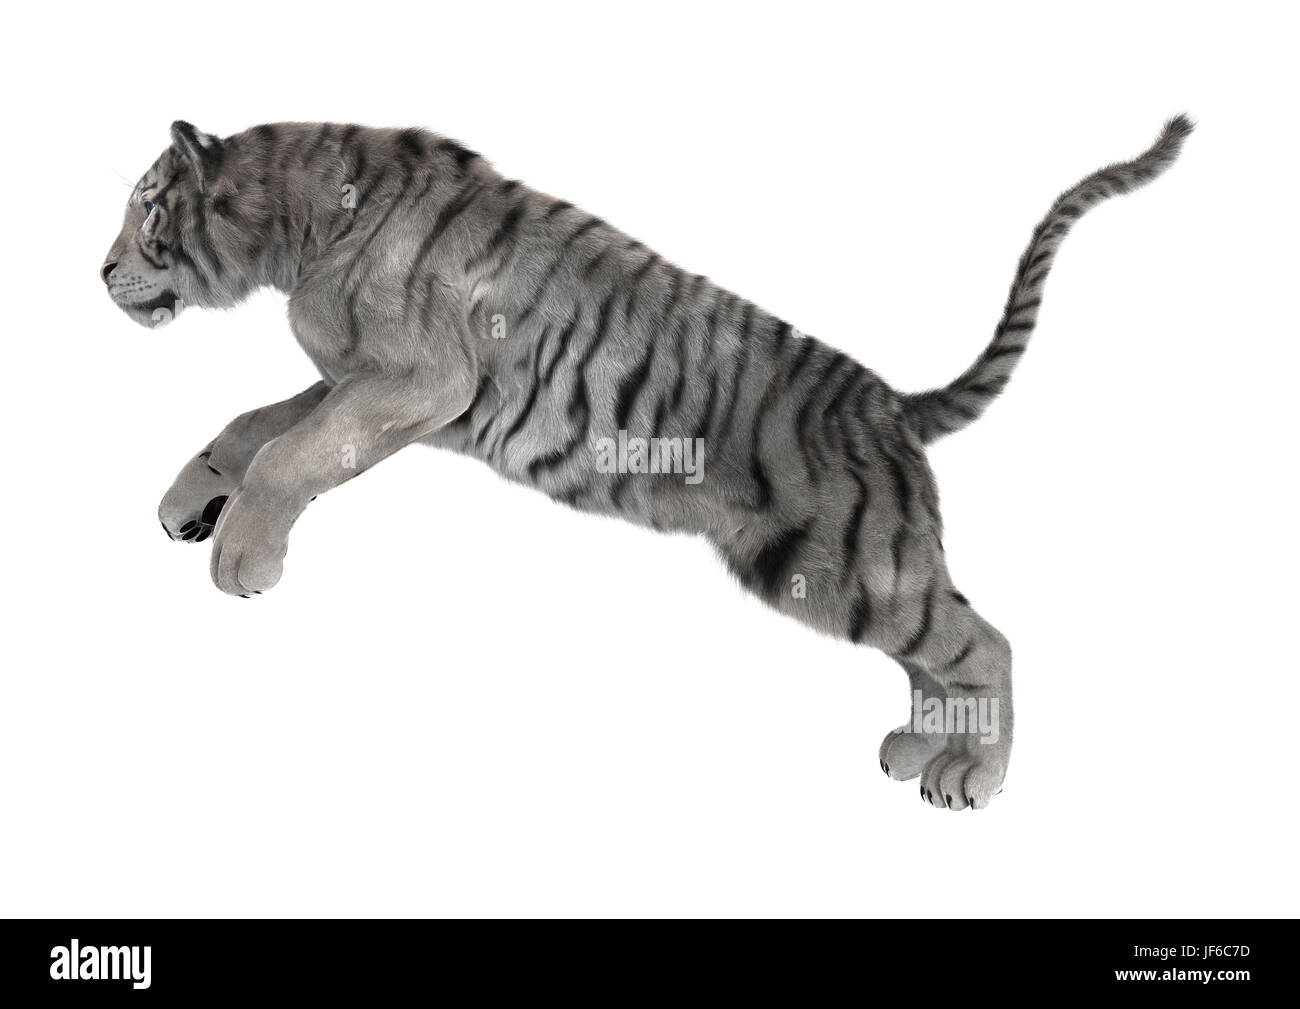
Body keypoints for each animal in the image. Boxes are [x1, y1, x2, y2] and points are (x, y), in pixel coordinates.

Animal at [102, 116, 1191, 810]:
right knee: (941, 645)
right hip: (837, 570)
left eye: (146, 207)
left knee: (987, 642)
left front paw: (242, 561)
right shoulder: (362, 383)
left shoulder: (416, 380)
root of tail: (891, 403)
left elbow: (289, 453)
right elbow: (254, 427)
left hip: (837, 568)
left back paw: (976, 778)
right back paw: (923, 750)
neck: (294, 225)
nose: (100, 270)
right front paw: (191, 505)